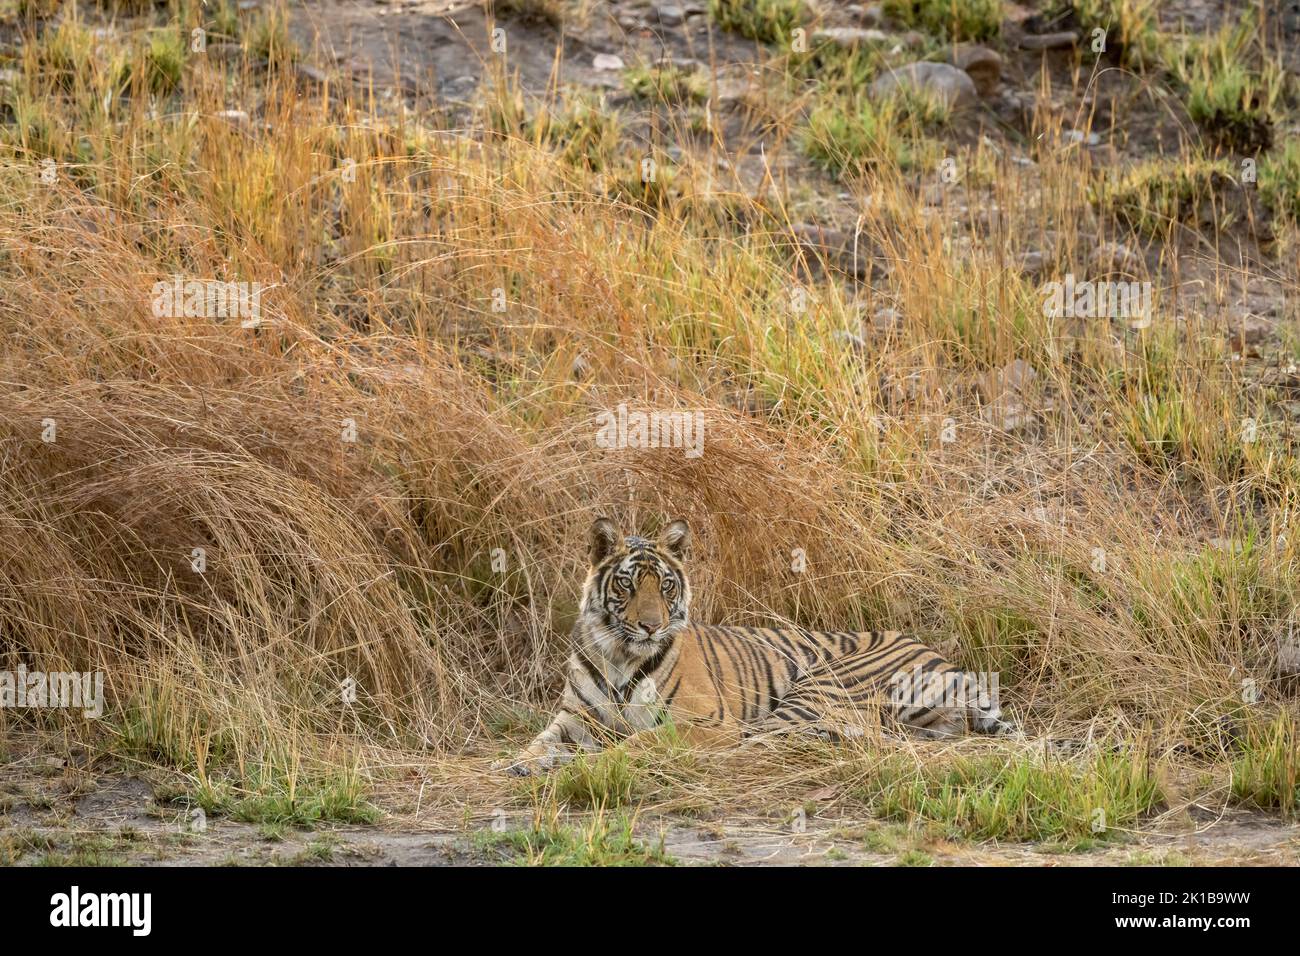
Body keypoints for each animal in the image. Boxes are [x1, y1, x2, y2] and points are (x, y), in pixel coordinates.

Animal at [501, 517, 1016, 775]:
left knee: (784, 739)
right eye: (627, 585)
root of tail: (946, 661)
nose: (650, 626)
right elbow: (538, 741)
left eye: (665, 586)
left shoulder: (709, 722)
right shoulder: (572, 718)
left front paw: (598, 759)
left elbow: (643, 739)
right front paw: (524, 764)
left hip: (818, 689)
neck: (620, 656)